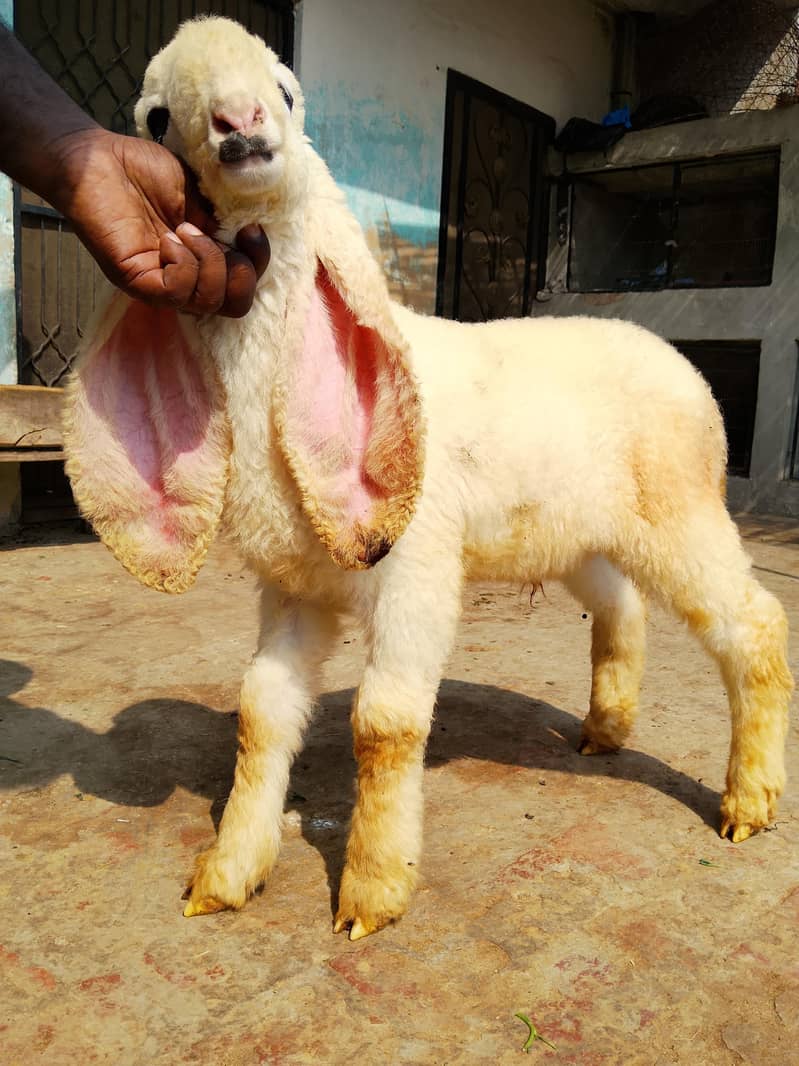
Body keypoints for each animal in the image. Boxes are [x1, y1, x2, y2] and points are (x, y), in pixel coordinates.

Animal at [63, 16, 793, 941]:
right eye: (158, 119)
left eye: (287, 89)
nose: (240, 124)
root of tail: (675, 360)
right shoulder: (293, 588)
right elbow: (261, 714)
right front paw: (227, 872)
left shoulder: (414, 569)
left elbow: (384, 724)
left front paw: (371, 891)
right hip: (575, 533)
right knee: (621, 604)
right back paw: (605, 728)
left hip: (683, 507)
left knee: (753, 625)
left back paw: (749, 800)